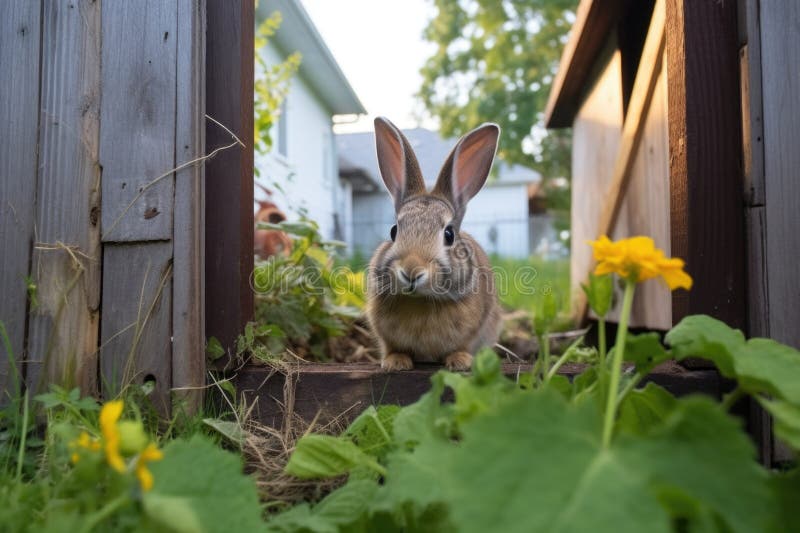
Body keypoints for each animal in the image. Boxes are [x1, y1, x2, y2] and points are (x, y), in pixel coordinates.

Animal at [366, 117, 502, 371]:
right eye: (394, 231)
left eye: (449, 234)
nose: (411, 271)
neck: (421, 300)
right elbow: (392, 347)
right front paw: (395, 362)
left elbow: (462, 347)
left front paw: (459, 362)